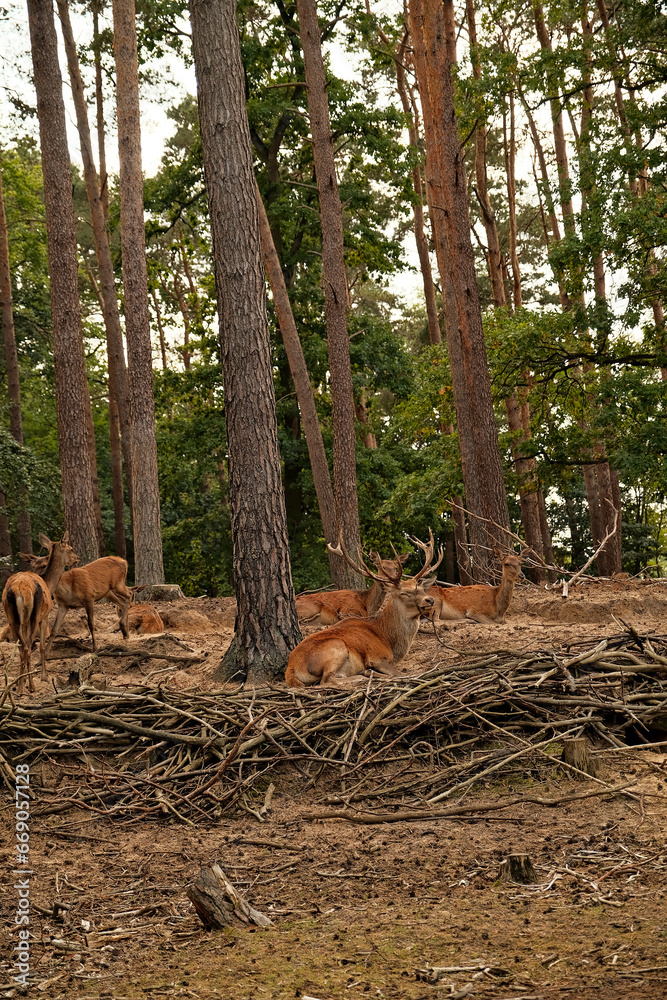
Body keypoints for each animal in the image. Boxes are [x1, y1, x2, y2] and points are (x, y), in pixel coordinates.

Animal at [2, 533, 79, 693]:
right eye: (70, 548)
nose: (77, 558)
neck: (49, 584)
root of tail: (21, 589)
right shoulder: (44, 617)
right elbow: (42, 646)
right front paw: (44, 676)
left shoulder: (24, 622)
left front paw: (22, 680)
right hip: (35, 615)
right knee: (27, 647)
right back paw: (30, 686)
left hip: (11, 616)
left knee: (21, 647)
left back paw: (19, 686)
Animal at [285, 531, 442, 687]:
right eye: (404, 593)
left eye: (421, 589)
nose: (430, 599)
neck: (387, 638)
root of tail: (290, 668)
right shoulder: (376, 657)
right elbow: (402, 673)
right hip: (336, 646)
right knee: (327, 680)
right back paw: (365, 676)